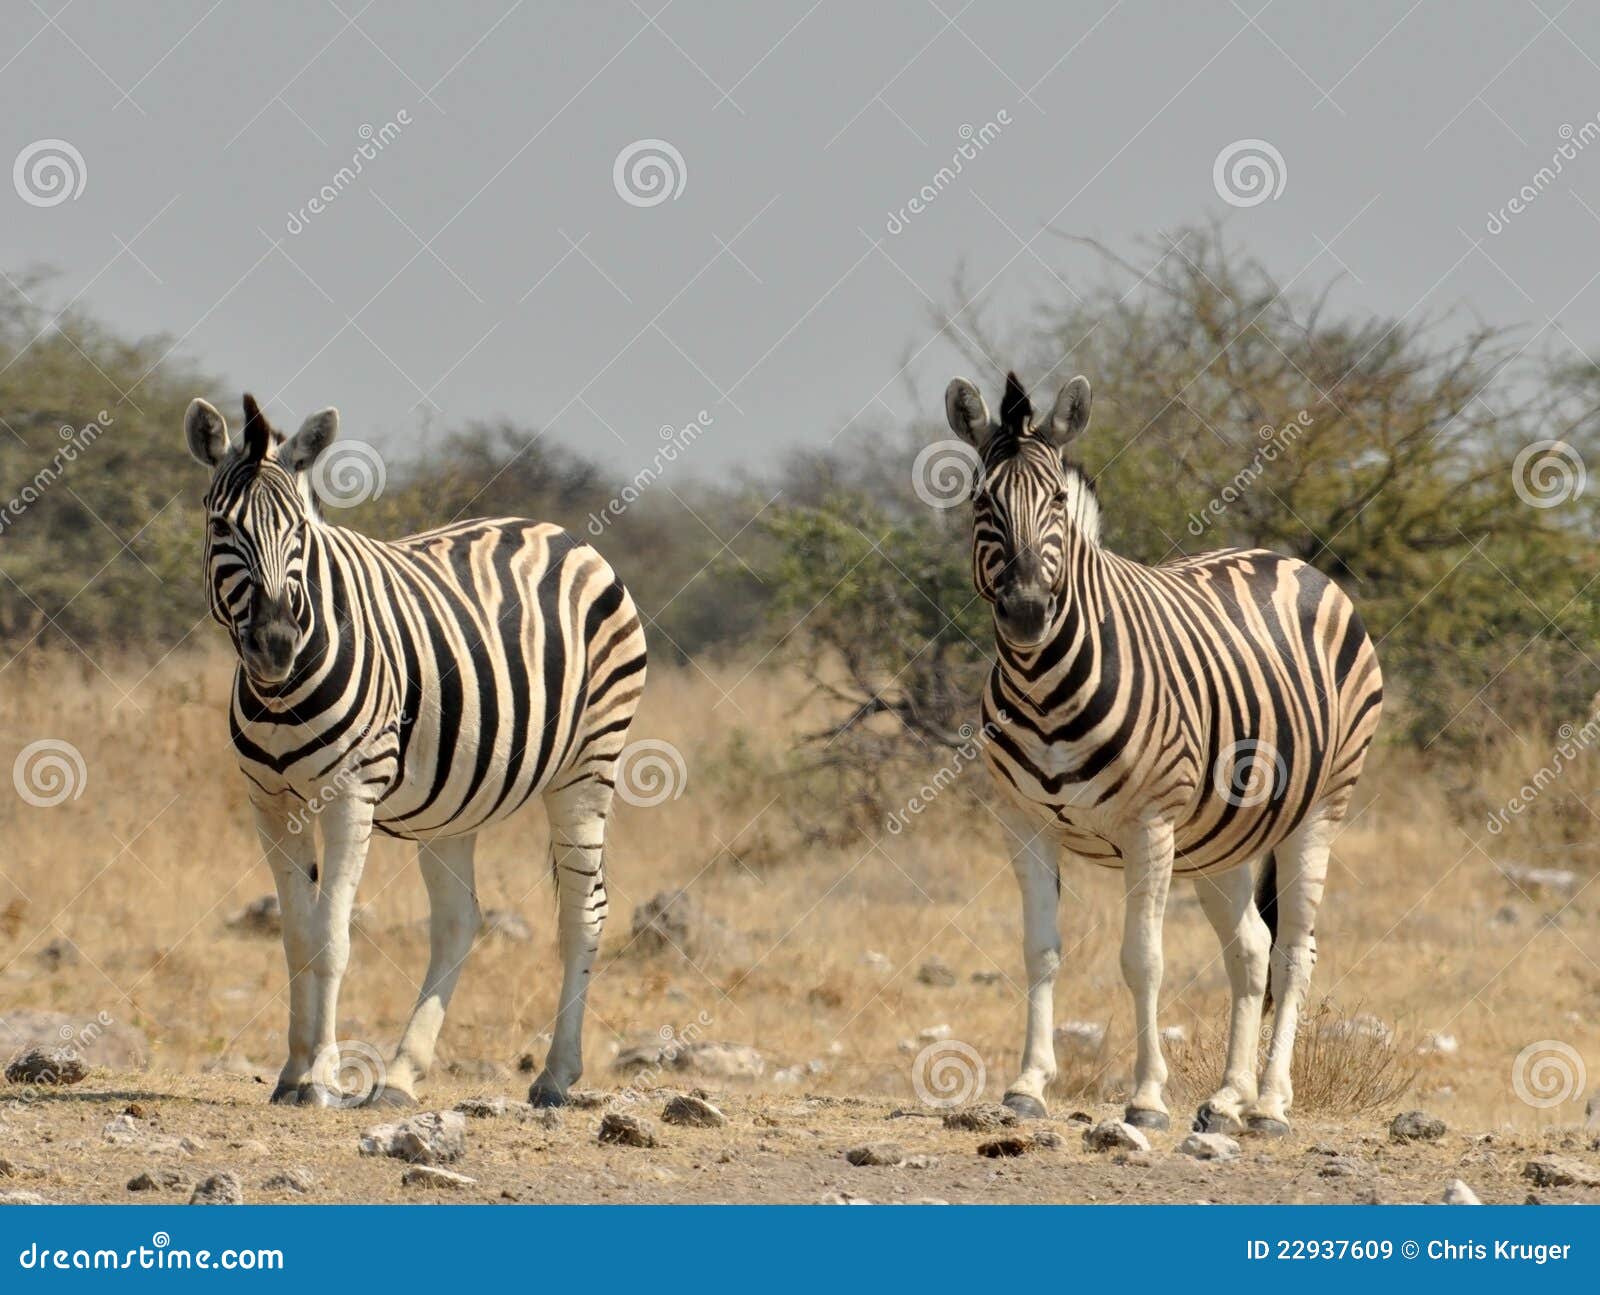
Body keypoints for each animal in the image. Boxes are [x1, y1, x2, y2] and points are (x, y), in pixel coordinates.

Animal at [184, 393, 647, 1109]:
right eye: (221, 527)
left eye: (301, 534)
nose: (275, 646)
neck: (282, 693)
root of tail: (563, 535)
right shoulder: (270, 800)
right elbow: (296, 935)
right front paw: (292, 1071)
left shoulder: (349, 793)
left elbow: (332, 936)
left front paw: (321, 1076)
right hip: (457, 797)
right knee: (459, 920)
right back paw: (402, 1074)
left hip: (588, 767)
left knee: (583, 912)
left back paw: (555, 1076)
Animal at [942, 370, 1383, 1135]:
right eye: (981, 502)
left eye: (1057, 501)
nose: (1026, 611)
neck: (1045, 683)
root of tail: (1289, 559)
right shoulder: (1020, 821)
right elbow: (1039, 950)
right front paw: (1027, 1085)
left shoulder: (1149, 825)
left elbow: (1142, 959)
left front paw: (1146, 1097)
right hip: (1224, 834)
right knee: (1251, 952)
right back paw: (1230, 1097)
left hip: (1320, 810)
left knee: (1295, 954)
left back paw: (1270, 1103)